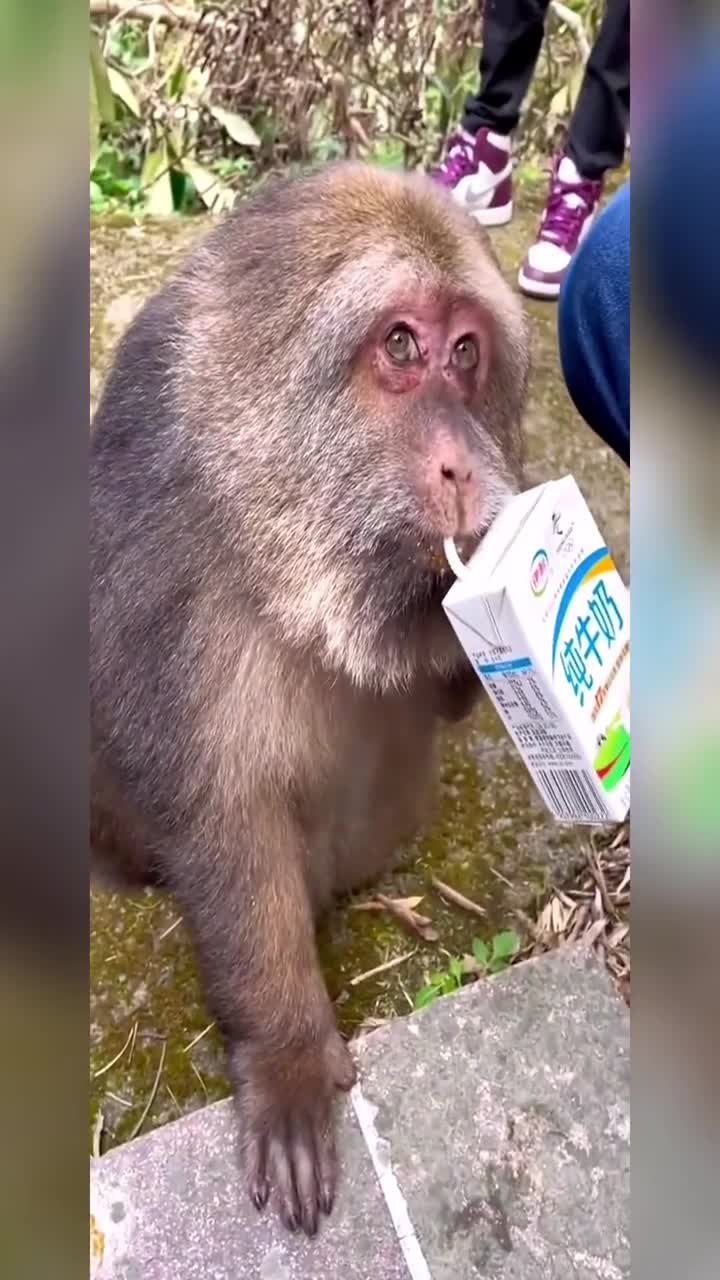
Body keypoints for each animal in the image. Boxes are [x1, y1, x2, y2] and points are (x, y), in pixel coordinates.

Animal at [90, 162, 529, 1236]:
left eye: (466, 353)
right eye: (401, 346)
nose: (466, 464)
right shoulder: (159, 555)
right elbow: (218, 811)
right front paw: (287, 1056)